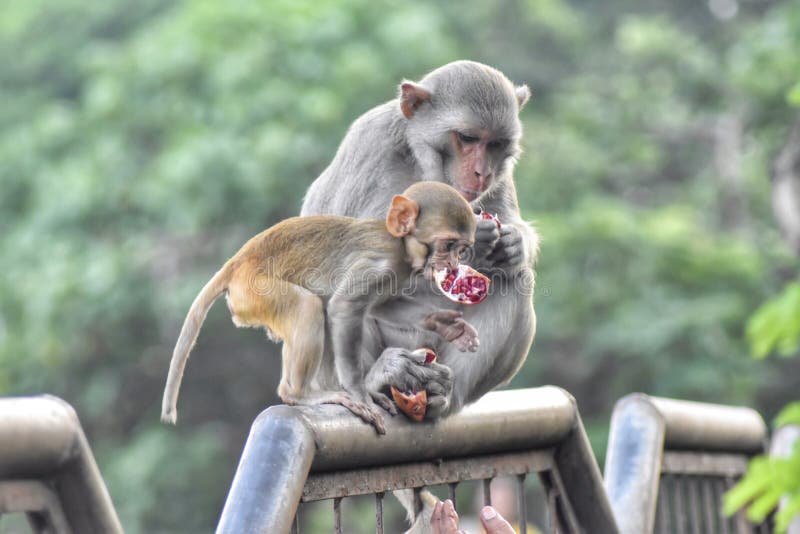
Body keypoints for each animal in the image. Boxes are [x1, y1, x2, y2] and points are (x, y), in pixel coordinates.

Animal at [161, 182, 479, 434]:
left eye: (462, 249)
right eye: (447, 245)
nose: (453, 266)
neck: (401, 247)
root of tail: (238, 261)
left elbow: (382, 305)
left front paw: (447, 325)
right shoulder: (379, 263)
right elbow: (344, 307)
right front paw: (360, 392)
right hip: (254, 291)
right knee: (310, 307)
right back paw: (298, 394)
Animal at [300, 60, 538, 531]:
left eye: (496, 144)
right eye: (467, 138)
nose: (481, 173)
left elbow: (510, 242)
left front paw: (511, 242)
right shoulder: (370, 146)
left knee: (514, 281)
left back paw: (442, 398)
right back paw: (380, 377)